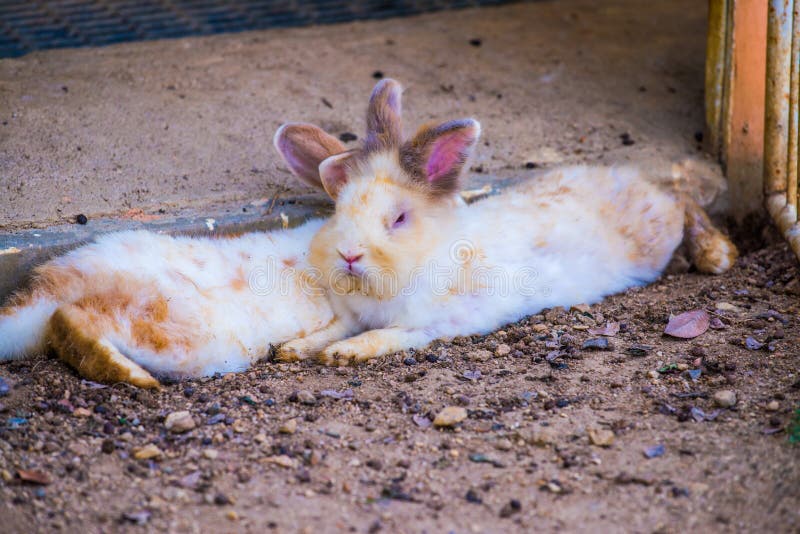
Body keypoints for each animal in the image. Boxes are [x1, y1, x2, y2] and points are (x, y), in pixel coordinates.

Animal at [273, 78, 739, 365]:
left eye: (400, 218)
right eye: (339, 211)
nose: (349, 255)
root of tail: (633, 179)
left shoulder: (428, 325)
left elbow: (383, 337)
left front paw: (344, 354)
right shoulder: (351, 316)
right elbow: (330, 329)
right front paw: (292, 349)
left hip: (661, 231)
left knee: (684, 200)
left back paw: (717, 254)